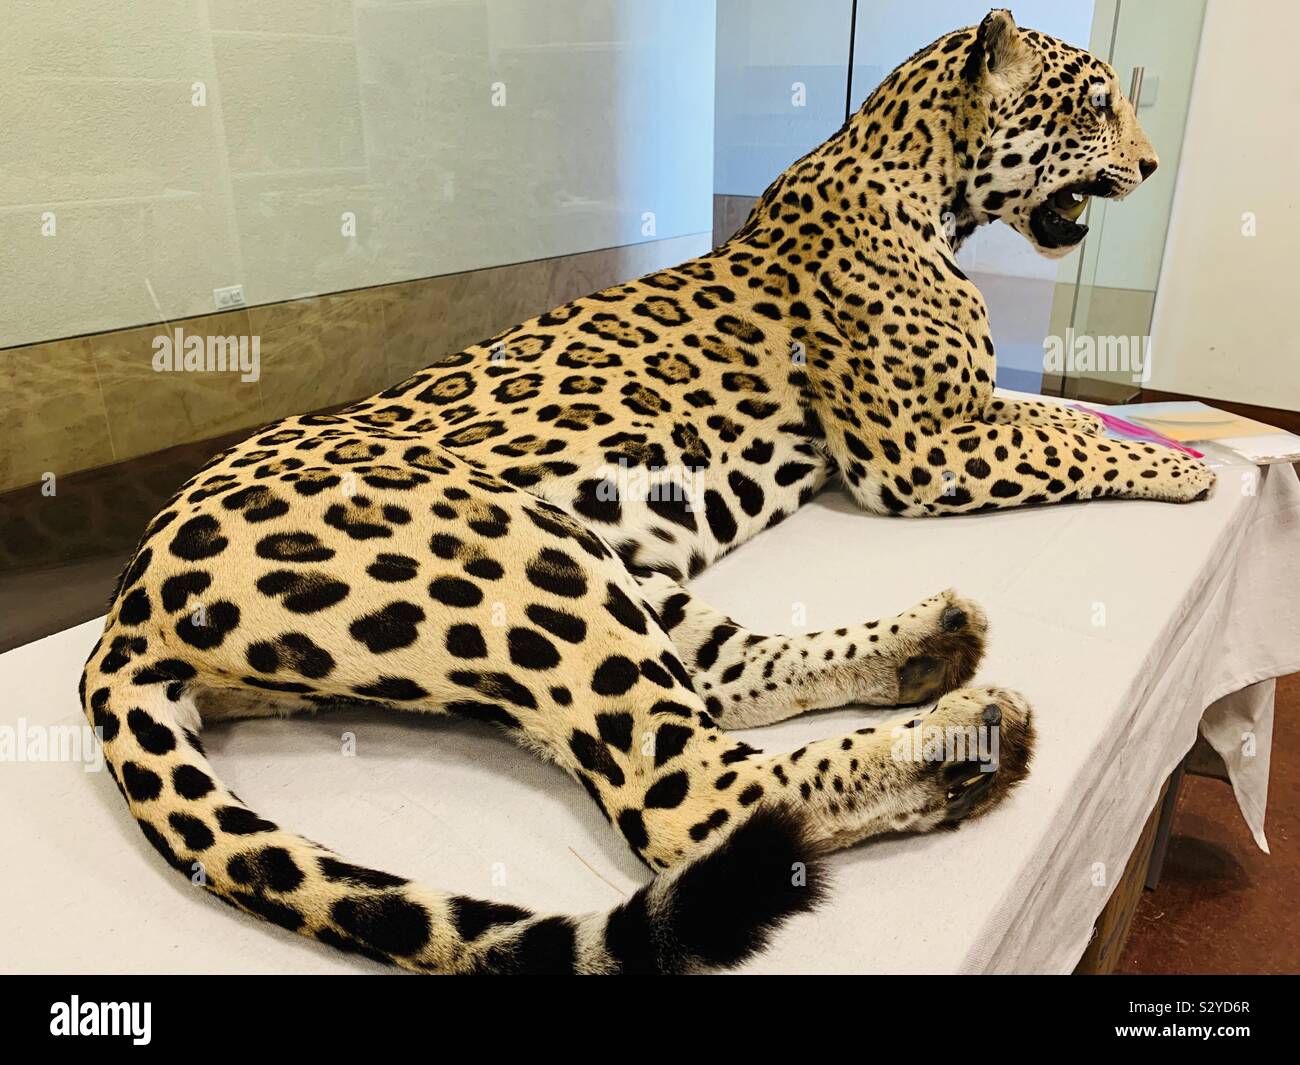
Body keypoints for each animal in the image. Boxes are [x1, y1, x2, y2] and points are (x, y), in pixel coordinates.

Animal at [79, 10, 1214, 975]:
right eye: (1097, 103)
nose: (1156, 165)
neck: (919, 179)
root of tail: (122, 607)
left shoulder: (957, 421)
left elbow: (1056, 420)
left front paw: (1158, 438)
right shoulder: (915, 453)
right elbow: (1061, 440)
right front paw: (1182, 465)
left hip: (592, 561)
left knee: (725, 679)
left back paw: (929, 645)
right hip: (520, 552)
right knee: (693, 798)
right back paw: (964, 742)